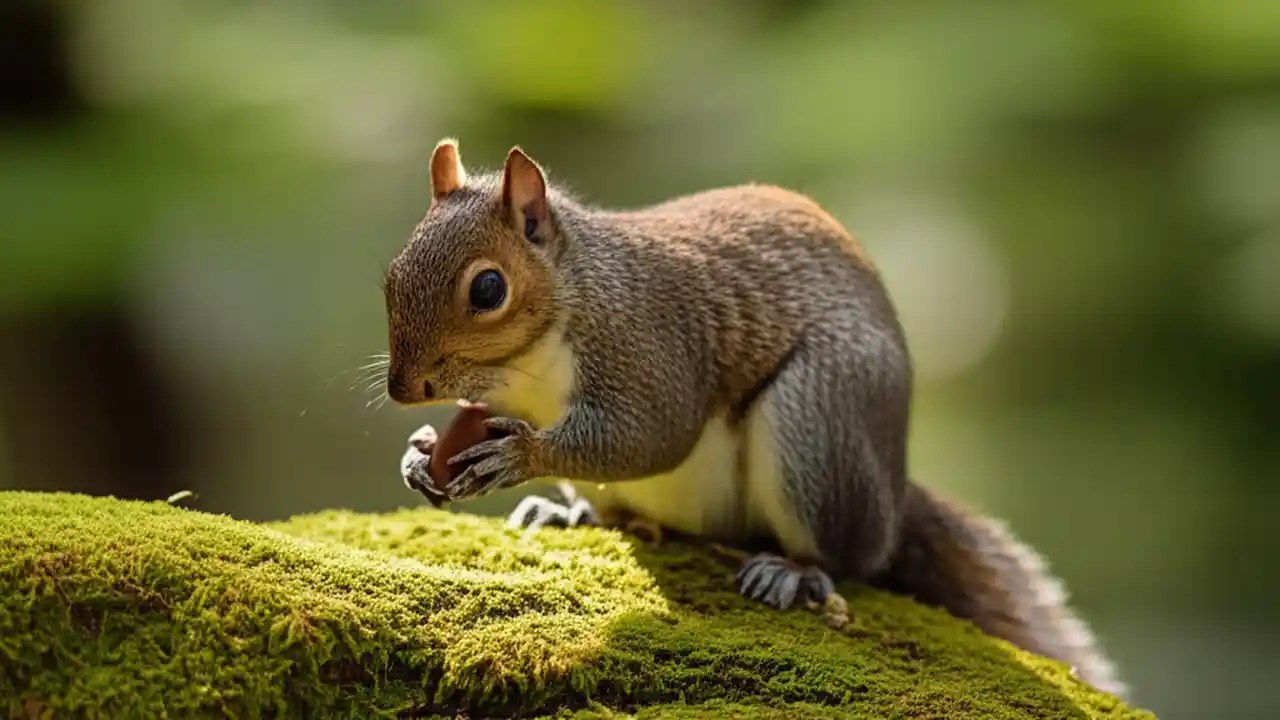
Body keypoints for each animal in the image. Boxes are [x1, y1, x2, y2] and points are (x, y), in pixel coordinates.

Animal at [384, 138, 1125, 698]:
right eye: (391, 273)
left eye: (489, 288)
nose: (402, 389)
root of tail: (892, 497)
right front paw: (419, 454)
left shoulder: (651, 346)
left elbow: (652, 434)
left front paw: (520, 457)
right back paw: (574, 512)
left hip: (816, 420)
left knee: (843, 554)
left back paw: (795, 571)